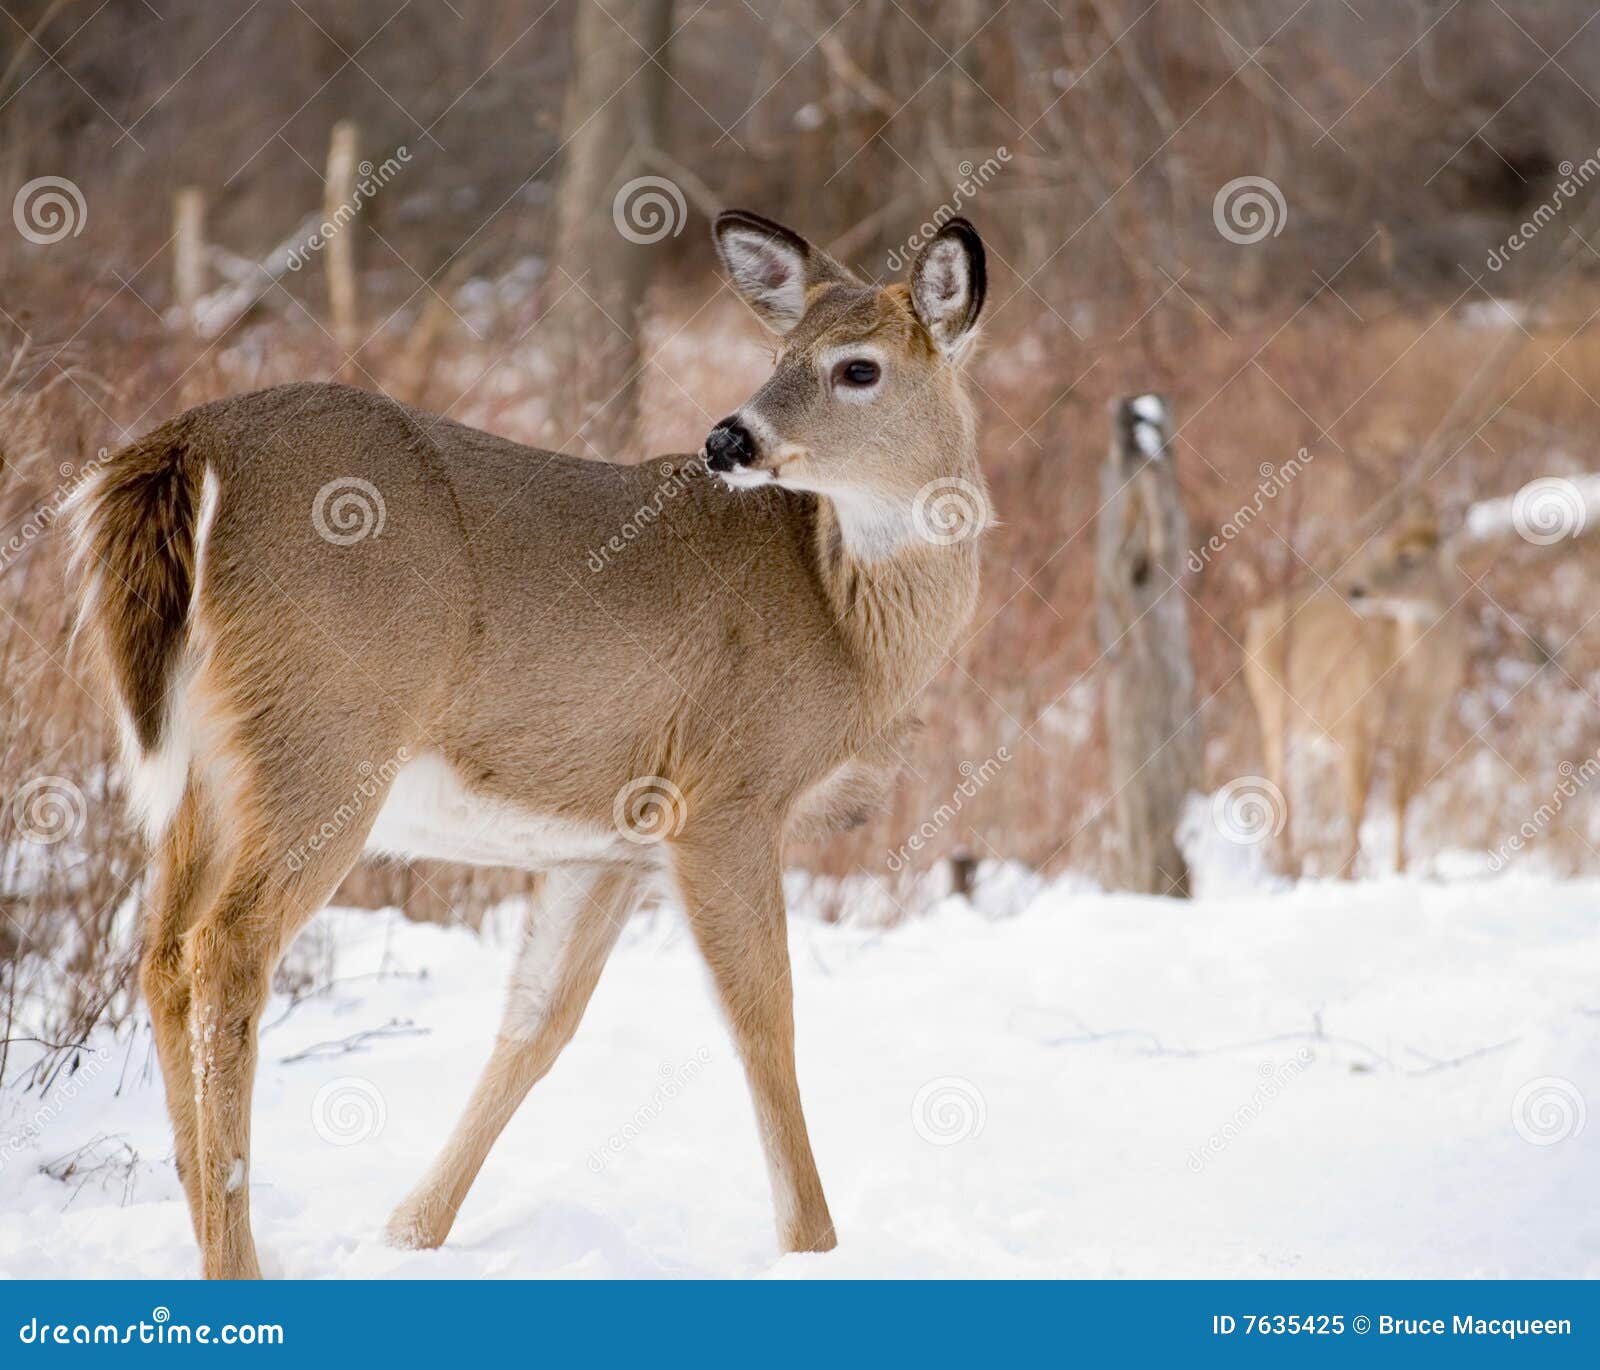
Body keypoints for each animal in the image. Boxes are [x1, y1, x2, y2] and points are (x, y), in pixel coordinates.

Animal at [66, 210, 989, 1279]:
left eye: (857, 368)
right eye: (781, 354)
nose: (728, 437)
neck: (848, 623)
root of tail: (186, 445)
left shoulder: (610, 840)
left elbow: (536, 1025)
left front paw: (410, 1230)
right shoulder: (727, 792)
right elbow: (765, 1018)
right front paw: (814, 1245)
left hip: (208, 772)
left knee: (162, 955)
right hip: (324, 733)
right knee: (226, 950)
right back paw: (237, 1261)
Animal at [1242, 501, 1467, 878]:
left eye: (1408, 557)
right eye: (1380, 546)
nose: (1357, 590)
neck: (1412, 685)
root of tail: (1257, 620)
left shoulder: (1419, 734)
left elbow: (1402, 798)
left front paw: (1400, 870)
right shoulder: (1354, 725)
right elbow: (1357, 803)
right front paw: (1347, 876)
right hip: (1271, 711)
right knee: (1279, 785)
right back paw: (1287, 867)